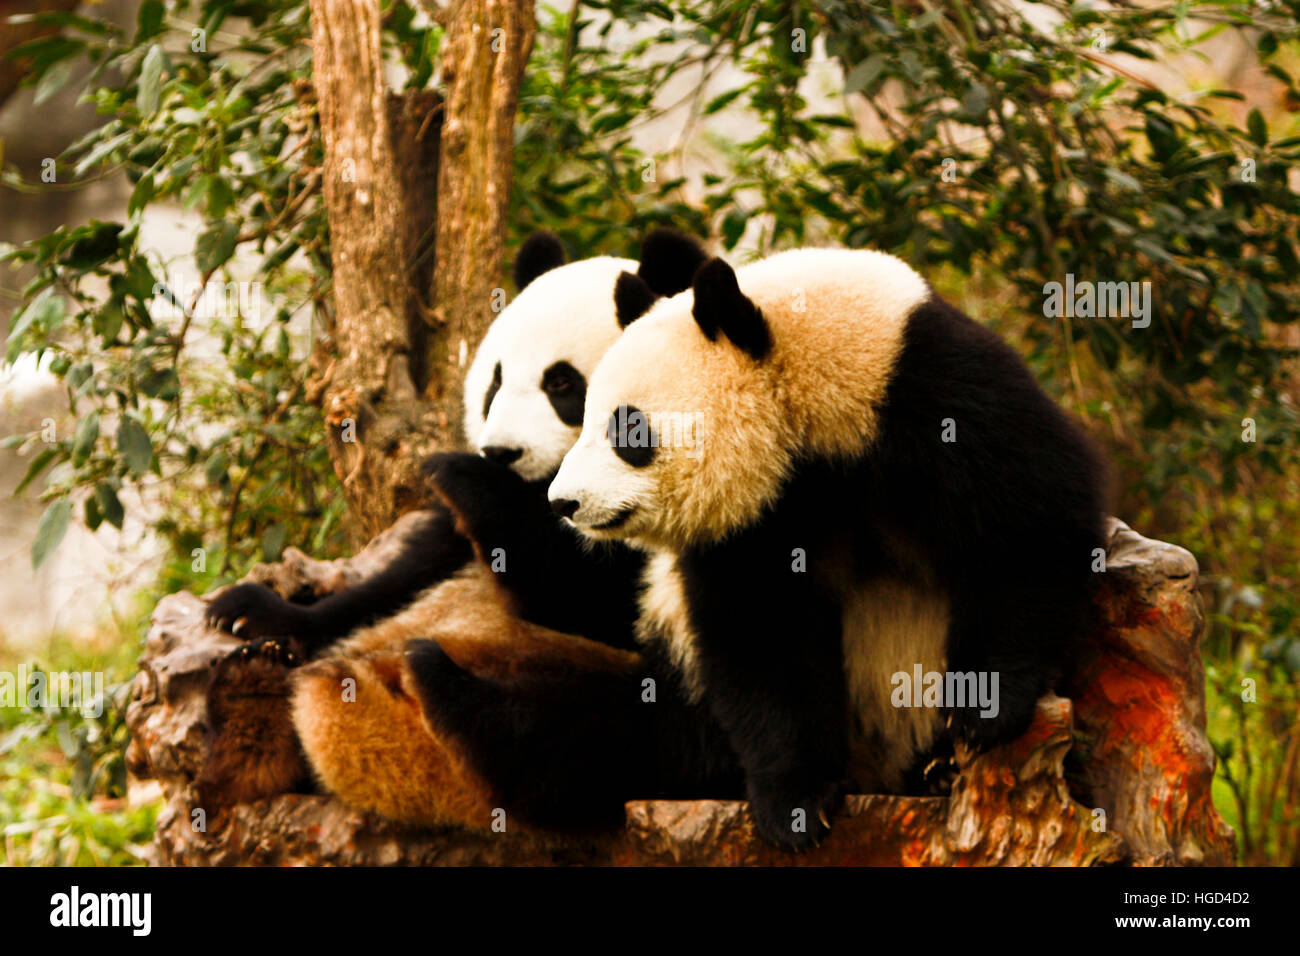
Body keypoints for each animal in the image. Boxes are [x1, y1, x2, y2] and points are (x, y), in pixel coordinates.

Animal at [524, 248, 1110, 850]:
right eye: (586, 417)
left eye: (629, 429)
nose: (563, 501)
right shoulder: (758, 517)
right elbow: (764, 634)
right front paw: (796, 806)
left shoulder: (929, 388)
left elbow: (1024, 523)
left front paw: (982, 708)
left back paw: (939, 766)